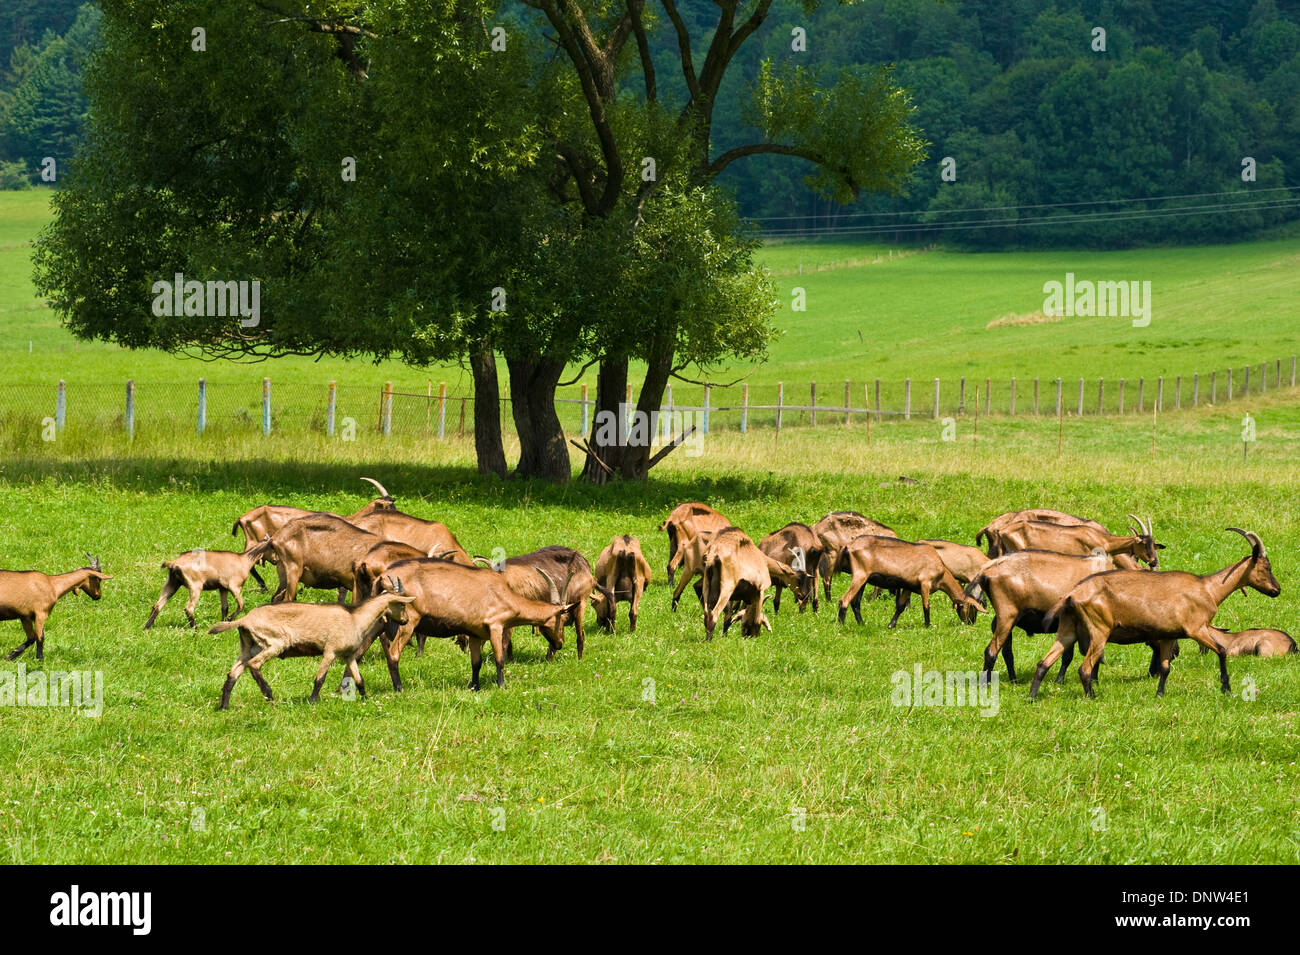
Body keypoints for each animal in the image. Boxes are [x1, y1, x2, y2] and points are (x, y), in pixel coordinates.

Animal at [211, 575, 415, 708]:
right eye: (402, 604)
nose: (405, 621)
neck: (355, 618)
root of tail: (245, 620)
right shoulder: (330, 651)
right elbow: (320, 678)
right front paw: (312, 701)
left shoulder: (348, 655)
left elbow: (359, 679)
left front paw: (366, 698)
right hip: (275, 642)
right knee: (254, 665)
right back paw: (269, 694)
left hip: (249, 646)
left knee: (233, 673)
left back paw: (224, 706)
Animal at [362, 558, 573, 691]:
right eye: (562, 619)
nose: (560, 643)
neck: (507, 596)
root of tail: (383, 576)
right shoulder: (495, 625)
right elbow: (500, 659)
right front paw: (502, 686)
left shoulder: (475, 634)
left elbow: (476, 663)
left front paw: (475, 687)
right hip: (408, 620)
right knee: (393, 654)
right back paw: (399, 688)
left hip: (379, 619)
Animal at [837, 536, 983, 628]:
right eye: (973, 608)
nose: (971, 622)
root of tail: (848, 546)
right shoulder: (925, 583)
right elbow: (926, 605)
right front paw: (927, 625)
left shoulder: (909, 587)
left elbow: (900, 606)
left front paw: (891, 625)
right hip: (860, 575)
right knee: (844, 600)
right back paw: (840, 626)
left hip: (863, 579)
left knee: (855, 603)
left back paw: (861, 624)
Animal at [965, 549, 1115, 684]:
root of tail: (987, 570)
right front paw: (1092, 682)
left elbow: (1068, 656)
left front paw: (1061, 681)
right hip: (1006, 615)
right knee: (991, 651)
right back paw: (987, 683)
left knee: (1006, 652)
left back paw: (1014, 681)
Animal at [1030, 528, 1281, 699]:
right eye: (1267, 567)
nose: (1277, 590)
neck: (1208, 588)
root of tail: (1073, 594)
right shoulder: (1196, 629)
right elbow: (1221, 651)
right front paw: (1226, 687)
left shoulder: (1169, 635)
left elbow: (1165, 667)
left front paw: (1159, 694)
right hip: (1099, 629)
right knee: (1084, 668)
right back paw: (1092, 697)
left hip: (1068, 629)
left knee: (1044, 662)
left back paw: (1032, 697)